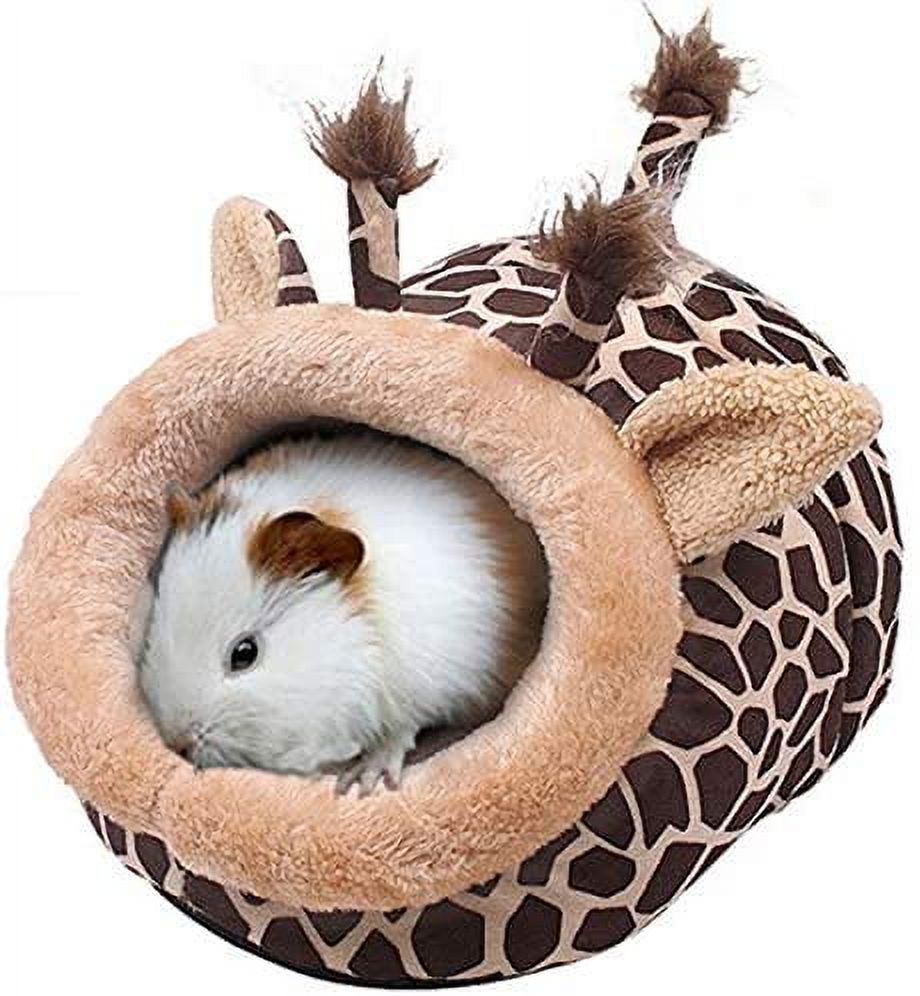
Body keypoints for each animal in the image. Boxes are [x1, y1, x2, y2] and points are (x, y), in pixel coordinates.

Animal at [138, 431, 548, 795]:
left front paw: (362, 782)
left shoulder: (430, 682)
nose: (177, 742)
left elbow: (400, 729)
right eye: (157, 625)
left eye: (245, 653)